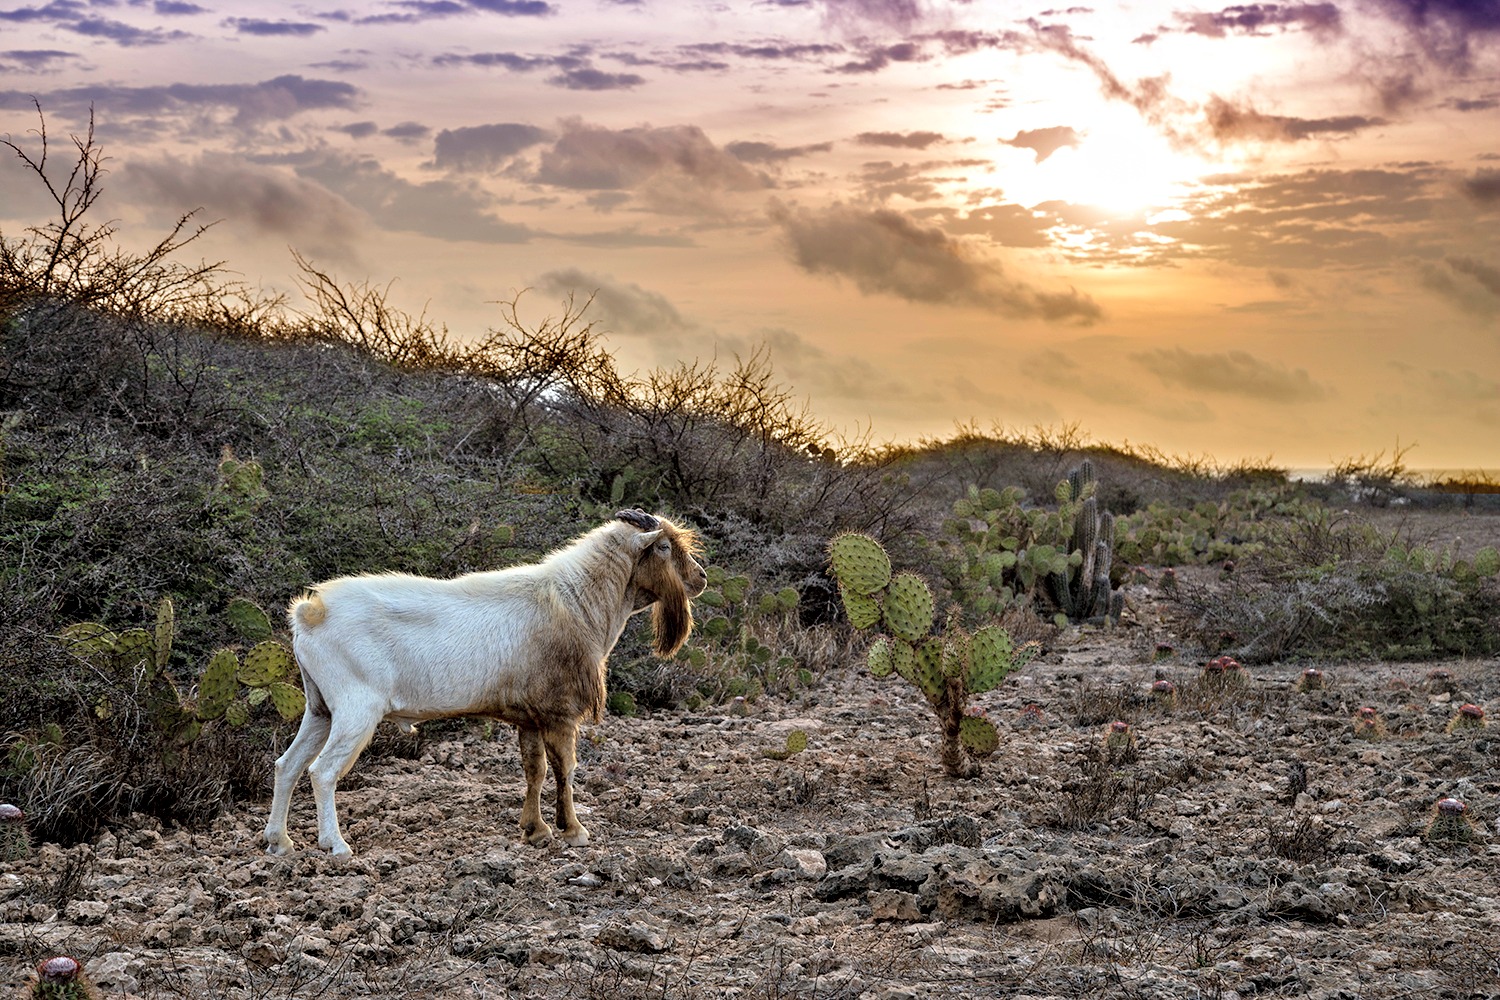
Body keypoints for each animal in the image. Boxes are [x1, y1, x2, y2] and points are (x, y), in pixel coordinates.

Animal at [263, 509, 707, 857]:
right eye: (664, 547)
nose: (700, 578)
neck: (575, 601)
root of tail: (310, 612)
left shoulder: (530, 717)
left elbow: (535, 770)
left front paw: (535, 830)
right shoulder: (559, 712)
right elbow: (565, 769)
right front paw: (574, 830)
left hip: (319, 708)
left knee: (288, 764)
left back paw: (279, 842)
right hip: (357, 709)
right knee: (321, 771)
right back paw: (335, 845)